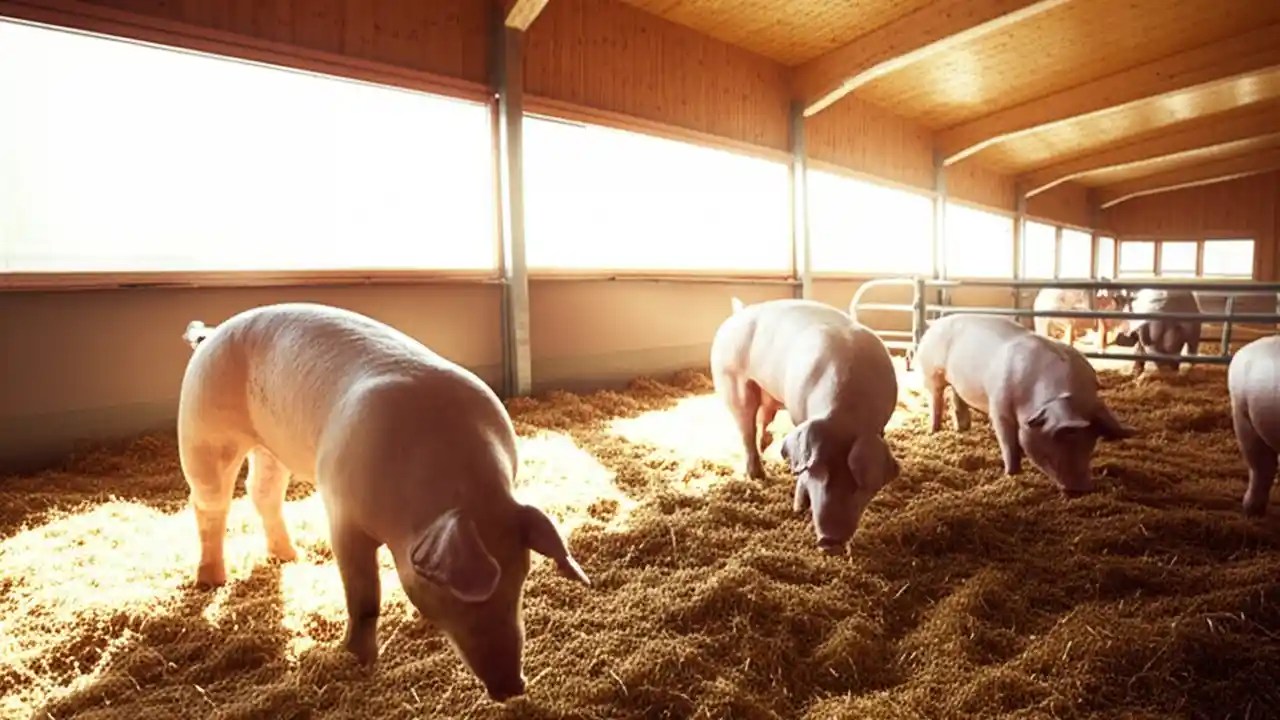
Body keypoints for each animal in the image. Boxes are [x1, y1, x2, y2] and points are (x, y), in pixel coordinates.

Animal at [176, 302, 590, 701]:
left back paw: (291, 556)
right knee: (209, 503)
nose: (513, 687)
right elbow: (364, 598)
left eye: (521, 578)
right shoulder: (341, 513)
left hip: (271, 448)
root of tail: (210, 335)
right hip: (202, 430)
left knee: (262, 491)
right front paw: (356, 659)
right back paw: (211, 579)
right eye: (456, 593)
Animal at [709, 297, 900, 553]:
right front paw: (798, 507)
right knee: (746, 428)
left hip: (768, 397)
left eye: (859, 483)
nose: (829, 541)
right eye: (815, 469)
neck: (845, 416)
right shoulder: (798, 415)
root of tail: (738, 313)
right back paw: (758, 475)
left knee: (761, 422)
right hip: (732, 381)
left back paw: (764, 447)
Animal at [916, 313, 1137, 495]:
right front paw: (1011, 474)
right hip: (931, 374)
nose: (1082, 489)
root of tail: (934, 323)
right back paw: (933, 431)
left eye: (1091, 444)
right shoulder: (999, 408)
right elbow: (1008, 444)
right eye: (1060, 437)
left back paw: (962, 429)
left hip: (956, 382)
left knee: (957, 398)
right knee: (936, 400)